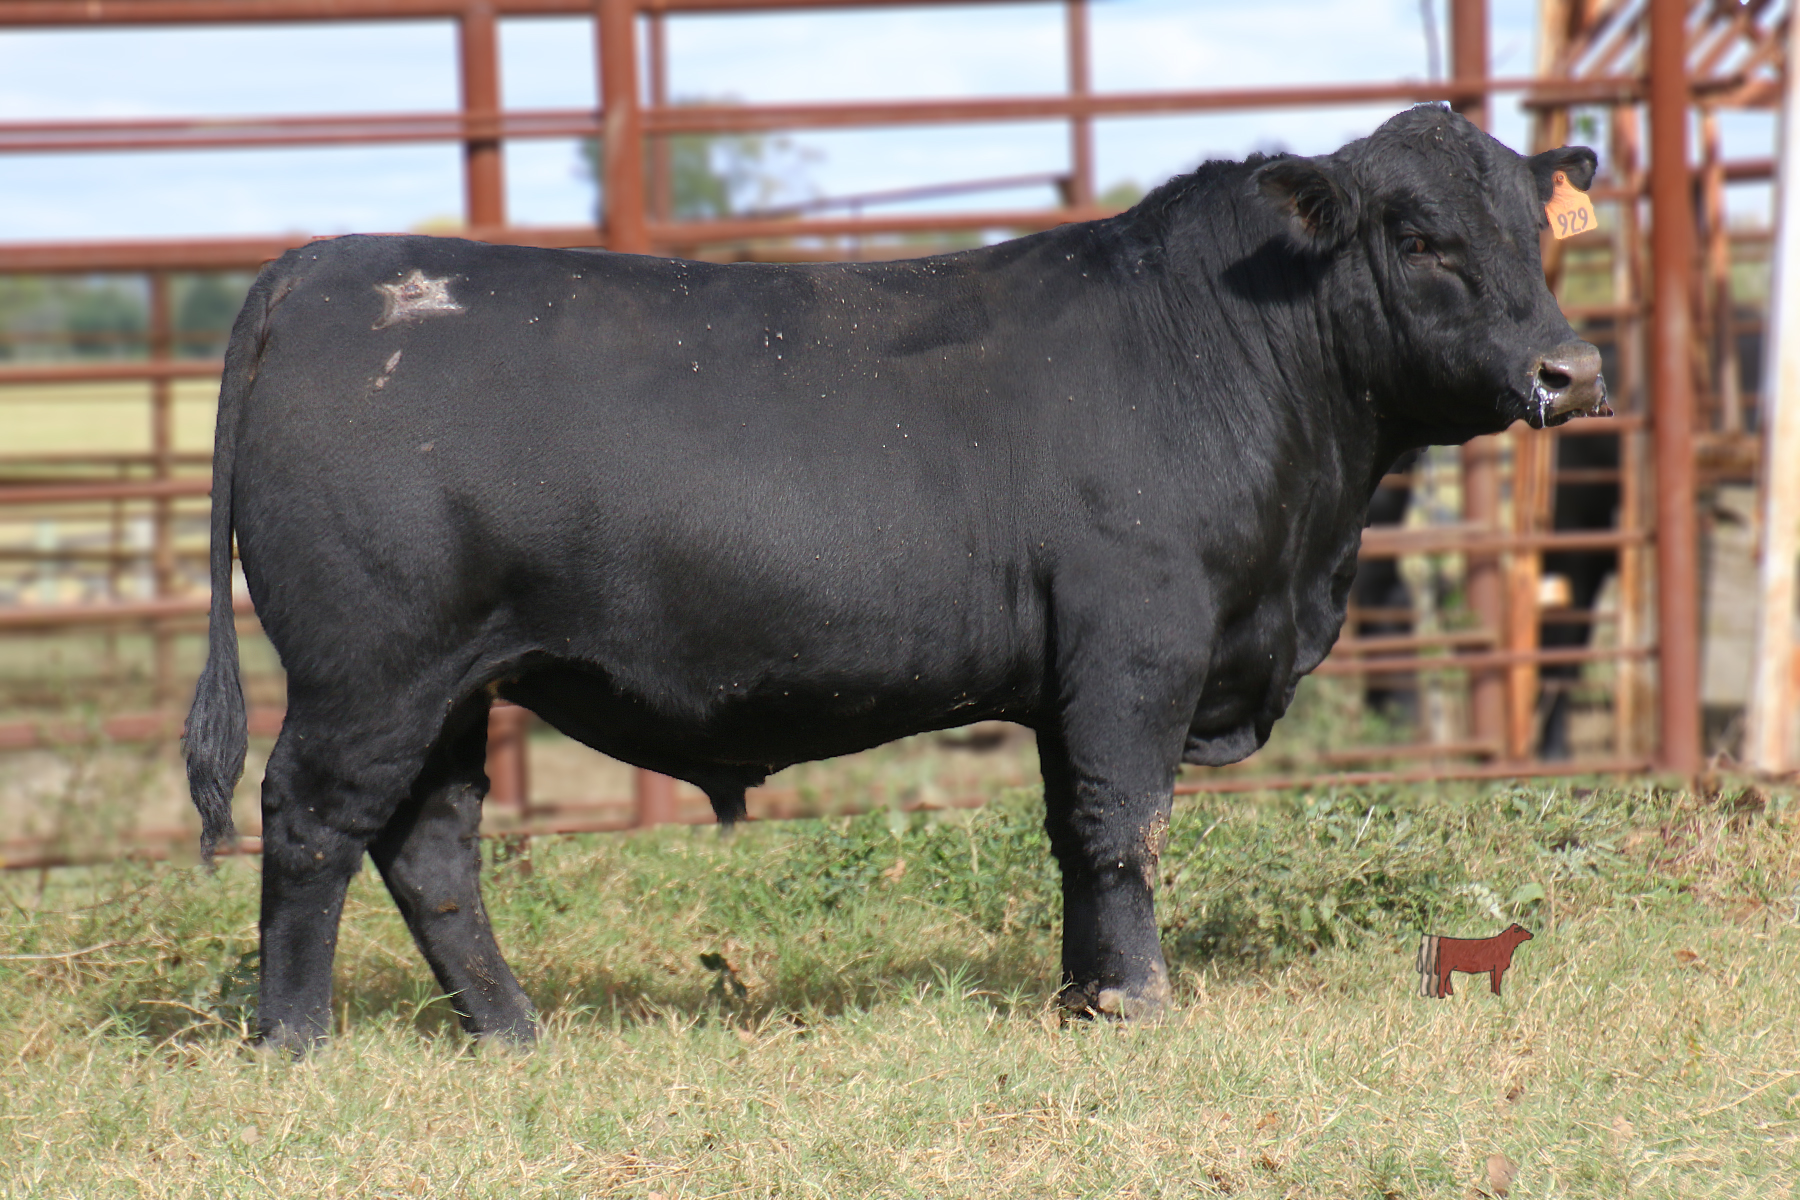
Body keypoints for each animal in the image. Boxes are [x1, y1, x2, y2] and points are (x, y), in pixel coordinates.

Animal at [184, 104, 1607, 1052]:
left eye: (1535, 231)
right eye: (1419, 236)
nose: (1572, 368)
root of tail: (324, 263)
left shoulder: (1073, 675)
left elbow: (1073, 831)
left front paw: (1081, 998)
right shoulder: (1138, 646)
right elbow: (1125, 824)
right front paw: (1138, 1006)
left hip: (454, 682)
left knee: (430, 844)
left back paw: (511, 1029)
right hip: (371, 671)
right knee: (310, 822)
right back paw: (295, 1040)